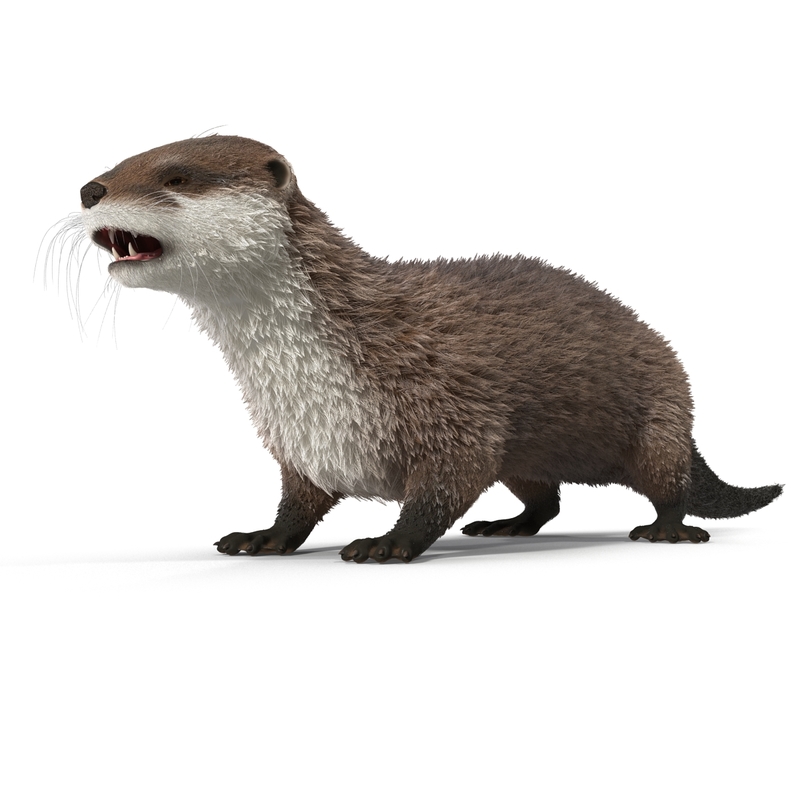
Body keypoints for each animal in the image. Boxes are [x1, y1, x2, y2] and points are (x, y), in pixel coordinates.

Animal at [77, 135, 782, 563]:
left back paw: (667, 530)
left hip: (658, 417)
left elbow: (440, 489)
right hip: (529, 456)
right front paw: (262, 537)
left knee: (669, 481)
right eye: (120, 162)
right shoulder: (303, 440)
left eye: (175, 174)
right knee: (546, 497)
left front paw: (385, 544)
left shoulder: (451, 403)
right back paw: (505, 526)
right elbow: (298, 503)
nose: (90, 190)